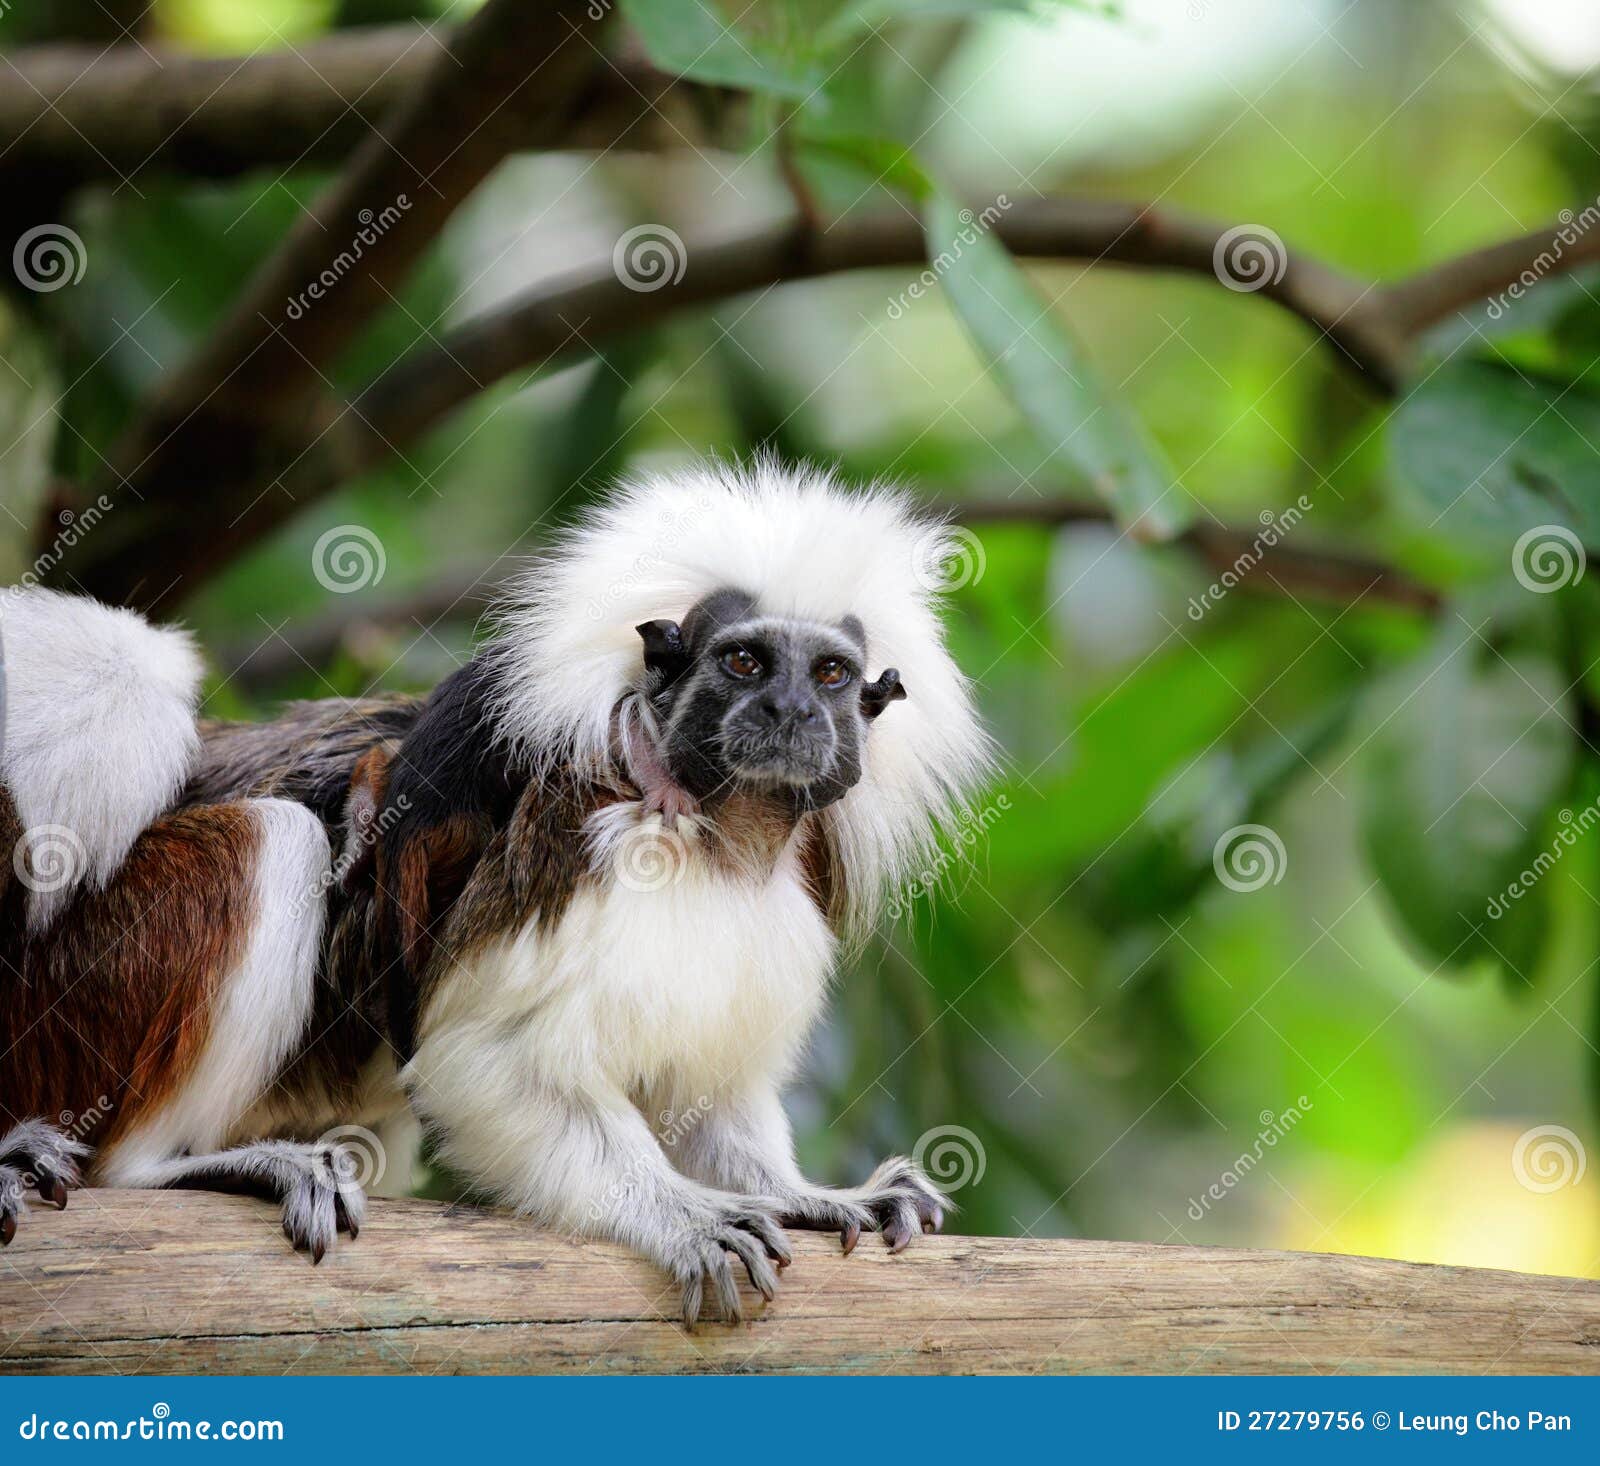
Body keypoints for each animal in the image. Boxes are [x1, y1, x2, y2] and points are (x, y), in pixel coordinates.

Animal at [0, 463, 992, 1324]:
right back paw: (171, 1168)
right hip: (67, 994)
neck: (716, 841)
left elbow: (705, 1096)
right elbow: (483, 1062)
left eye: (829, 674)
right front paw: (682, 1214)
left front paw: (808, 1195)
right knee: (272, 842)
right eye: (745, 663)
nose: (790, 713)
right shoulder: (575, 854)